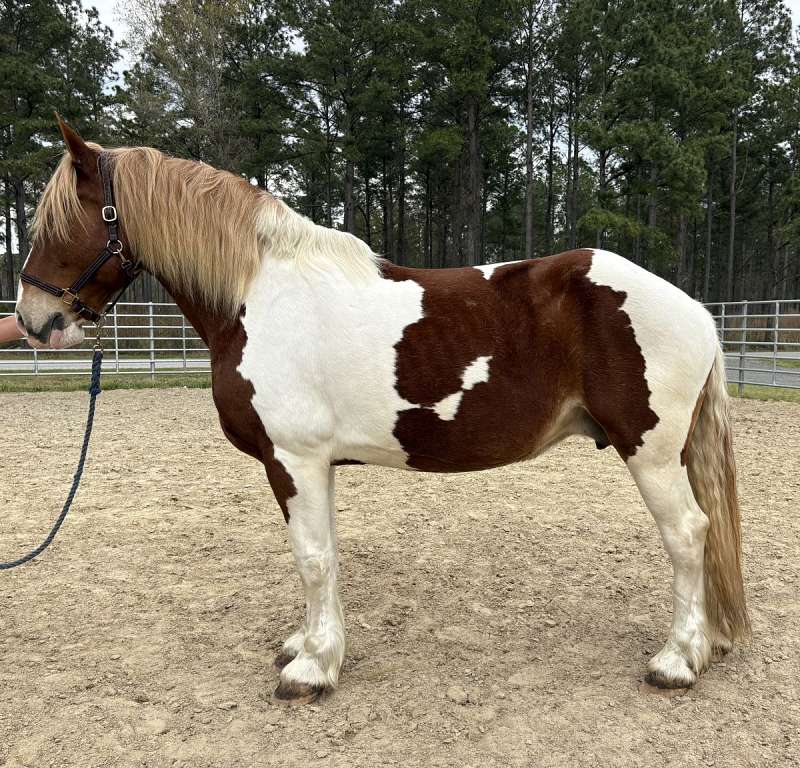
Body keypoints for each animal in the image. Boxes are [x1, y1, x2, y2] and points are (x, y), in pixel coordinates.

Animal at [16, 119, 749, 704]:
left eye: (59, 222)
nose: (33, 321)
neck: (259, 296)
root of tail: (695, 309)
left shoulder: (293, 459)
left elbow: (313, 557)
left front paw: (312, 671)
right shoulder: (312, 466)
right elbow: (324, 554)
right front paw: (309, 644)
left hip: (650, 452)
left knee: (689, 534)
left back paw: (676, 662)